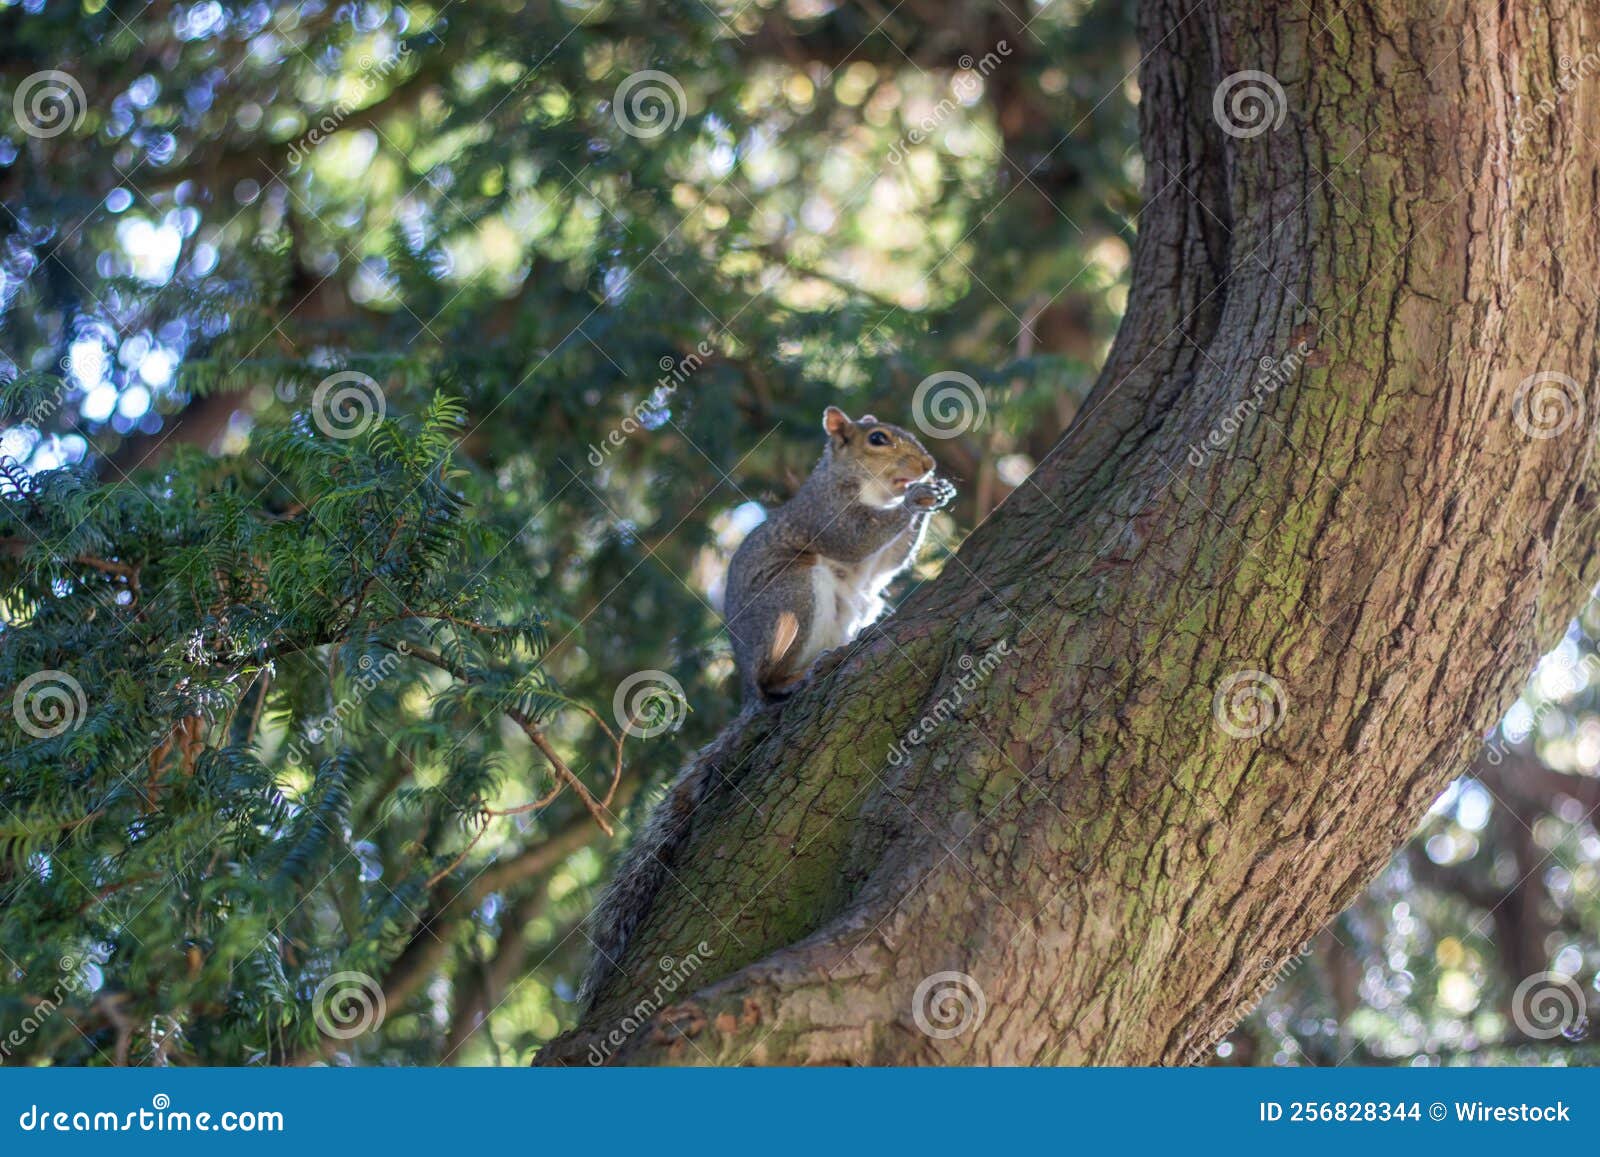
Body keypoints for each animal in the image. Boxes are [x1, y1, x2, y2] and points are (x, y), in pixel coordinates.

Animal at [577, 405, 955, 1009]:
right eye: (877, 439)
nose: (926, 465)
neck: (864, 485)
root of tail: (749, 695)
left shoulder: (876, 567)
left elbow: (887, 563)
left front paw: (937, 494)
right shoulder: (825, 514)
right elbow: (858, 537)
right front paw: (917, 500)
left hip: (852, 603)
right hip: (794, 593)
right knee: (774, 675)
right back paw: (797, 677)